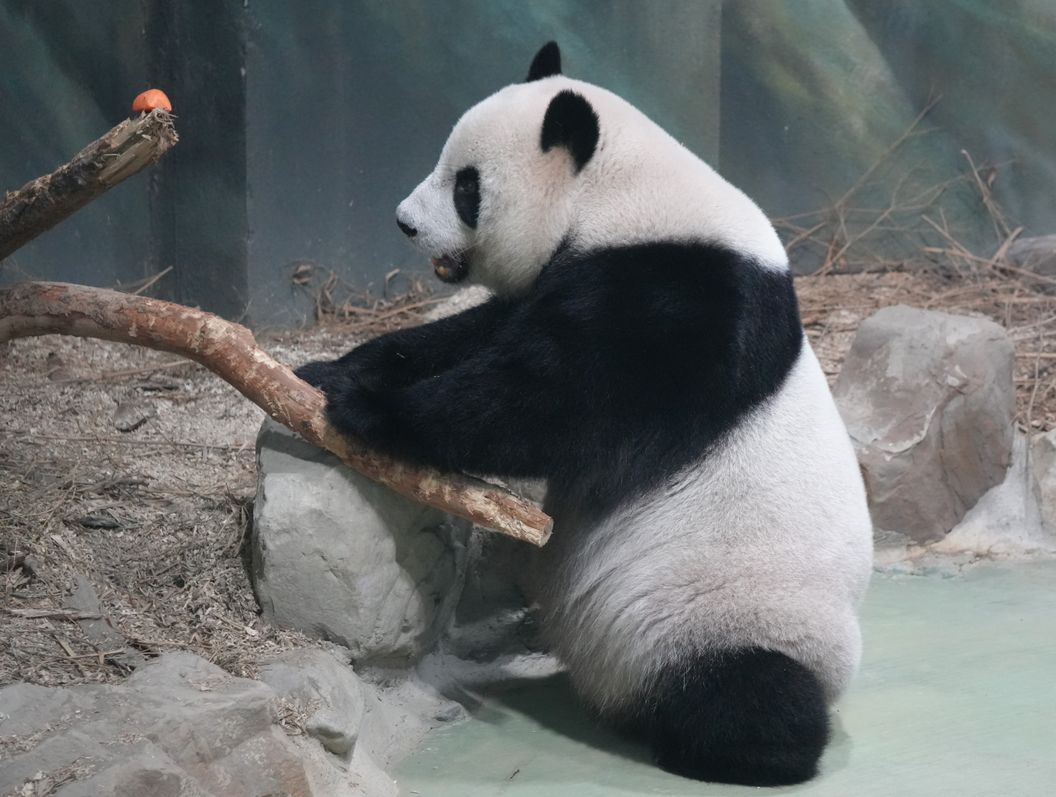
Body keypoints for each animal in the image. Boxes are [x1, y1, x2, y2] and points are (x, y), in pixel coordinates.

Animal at [297, 42, 873, 787]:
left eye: (466, 187)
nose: (403, 220)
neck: (622, 192)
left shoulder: (681, 301)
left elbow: (552, 401)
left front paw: (369, 410)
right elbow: (481, 335)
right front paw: (333, 370)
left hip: (737, 615)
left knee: (753, 693)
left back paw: (737, 749)